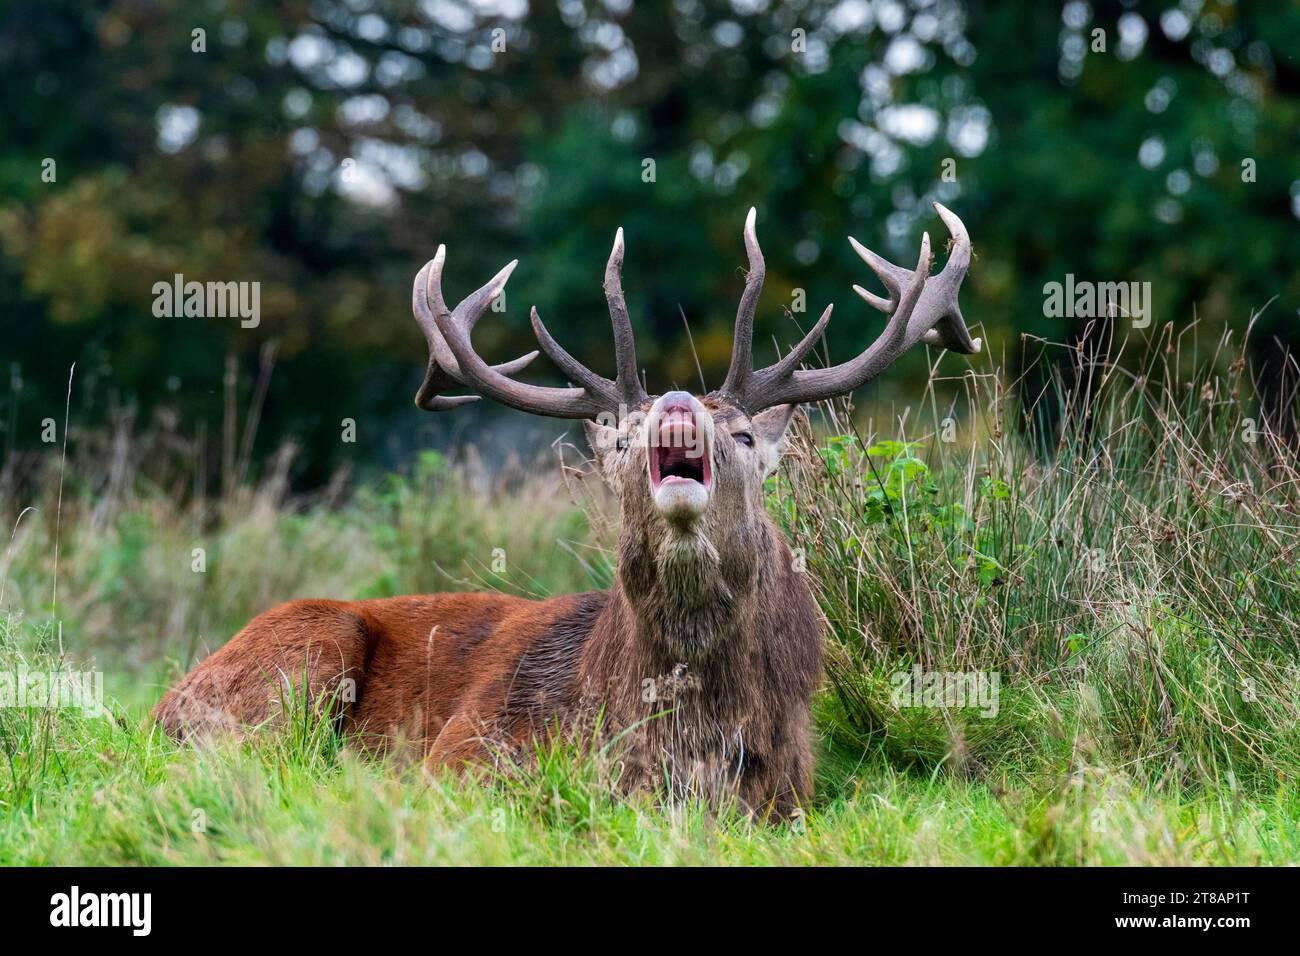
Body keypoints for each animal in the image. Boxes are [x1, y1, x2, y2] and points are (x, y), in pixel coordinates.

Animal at [153, 203, 980, 817]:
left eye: (744, 432)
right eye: (617, 437)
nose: (675, 404)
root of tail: (160, 707)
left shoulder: (790, 789)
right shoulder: (461, 749)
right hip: (304, 651)